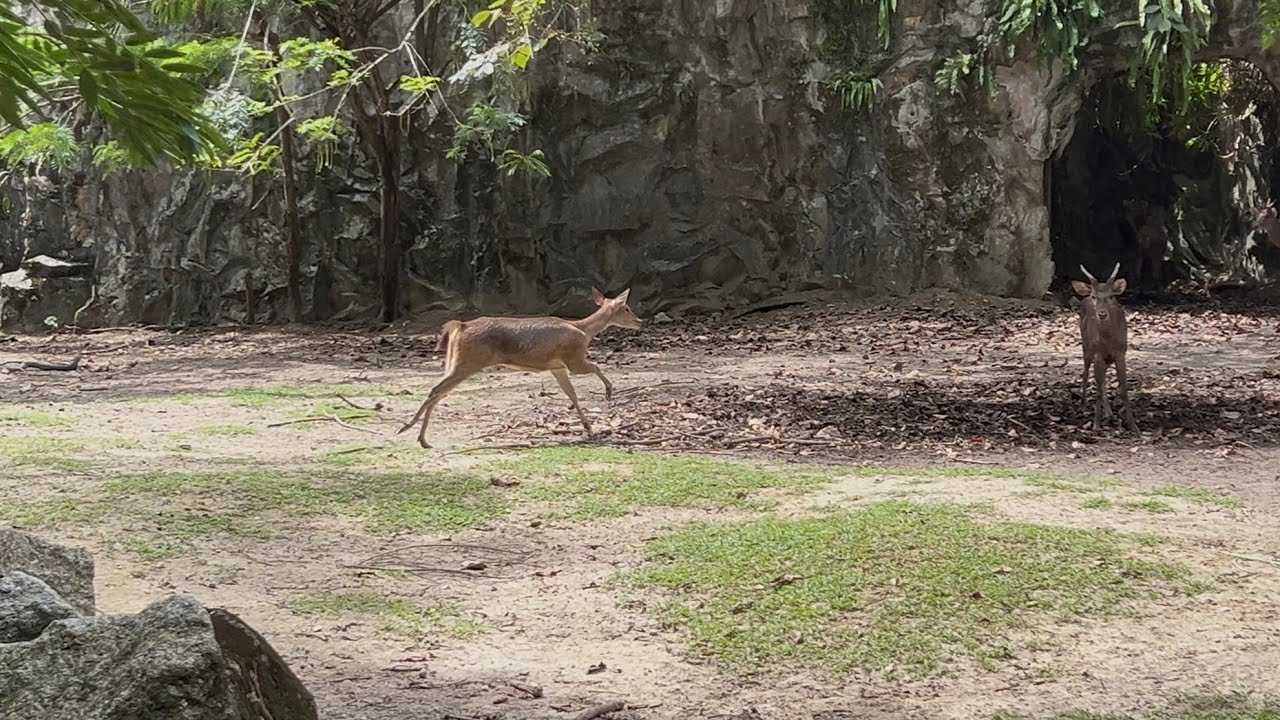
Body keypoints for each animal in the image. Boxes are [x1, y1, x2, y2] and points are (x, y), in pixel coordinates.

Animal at [397, 288, 643, 448]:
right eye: (626, 308)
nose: (640, 321)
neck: (583, 330)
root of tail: (460, 326)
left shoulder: (557, 367)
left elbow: (571, 394)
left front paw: (589, 428)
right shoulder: (573, 359)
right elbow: (596, 368)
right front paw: (608, 393)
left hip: (453, 361)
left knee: (438, 391)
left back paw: (420, 436)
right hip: (468, 361)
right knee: (437, 390)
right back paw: (412, 431)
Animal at [1072, 263, 1137, 433]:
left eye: (1111, 296)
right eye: (1094, 296)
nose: (1101, 314)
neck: (1108, 341)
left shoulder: (1120, 353)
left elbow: (1124, 390)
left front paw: (1133, 425)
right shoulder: (1097, 354)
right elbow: (1098, 391)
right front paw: (1096, 425)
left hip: (1106, 359)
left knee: (1102, 381)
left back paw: (1109, 413)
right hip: (1086, 347)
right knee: (1086, 373)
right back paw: (1082, 405)